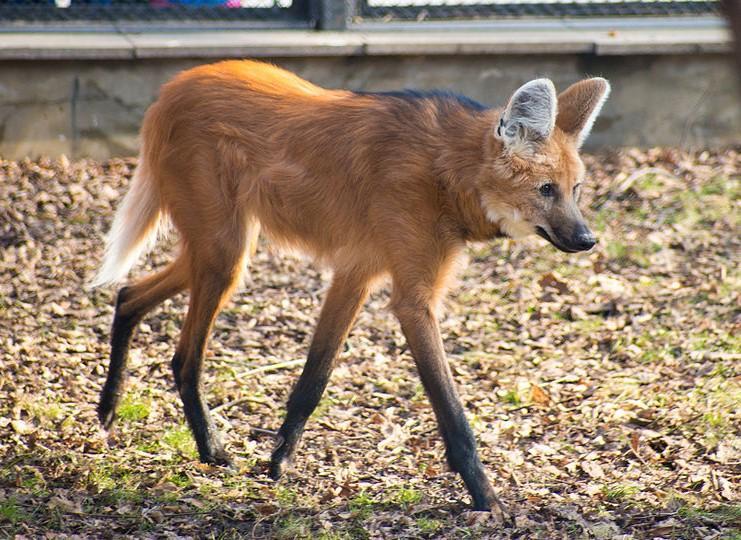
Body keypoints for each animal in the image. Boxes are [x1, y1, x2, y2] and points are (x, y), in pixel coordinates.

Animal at [93, 59, 610, 512]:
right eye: (546, 189)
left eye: (576, 190)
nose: (587, 239)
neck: (447, 172)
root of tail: (172, 87)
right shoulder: (411, 299)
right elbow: (452, 412)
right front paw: (488, 499)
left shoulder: (356, 272)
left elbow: (314, 379)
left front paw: (278, 464)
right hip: (223, 252)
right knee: (184, 356)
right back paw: (210, 449)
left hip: (223, 252)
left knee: (129, 295)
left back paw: (108, 410)